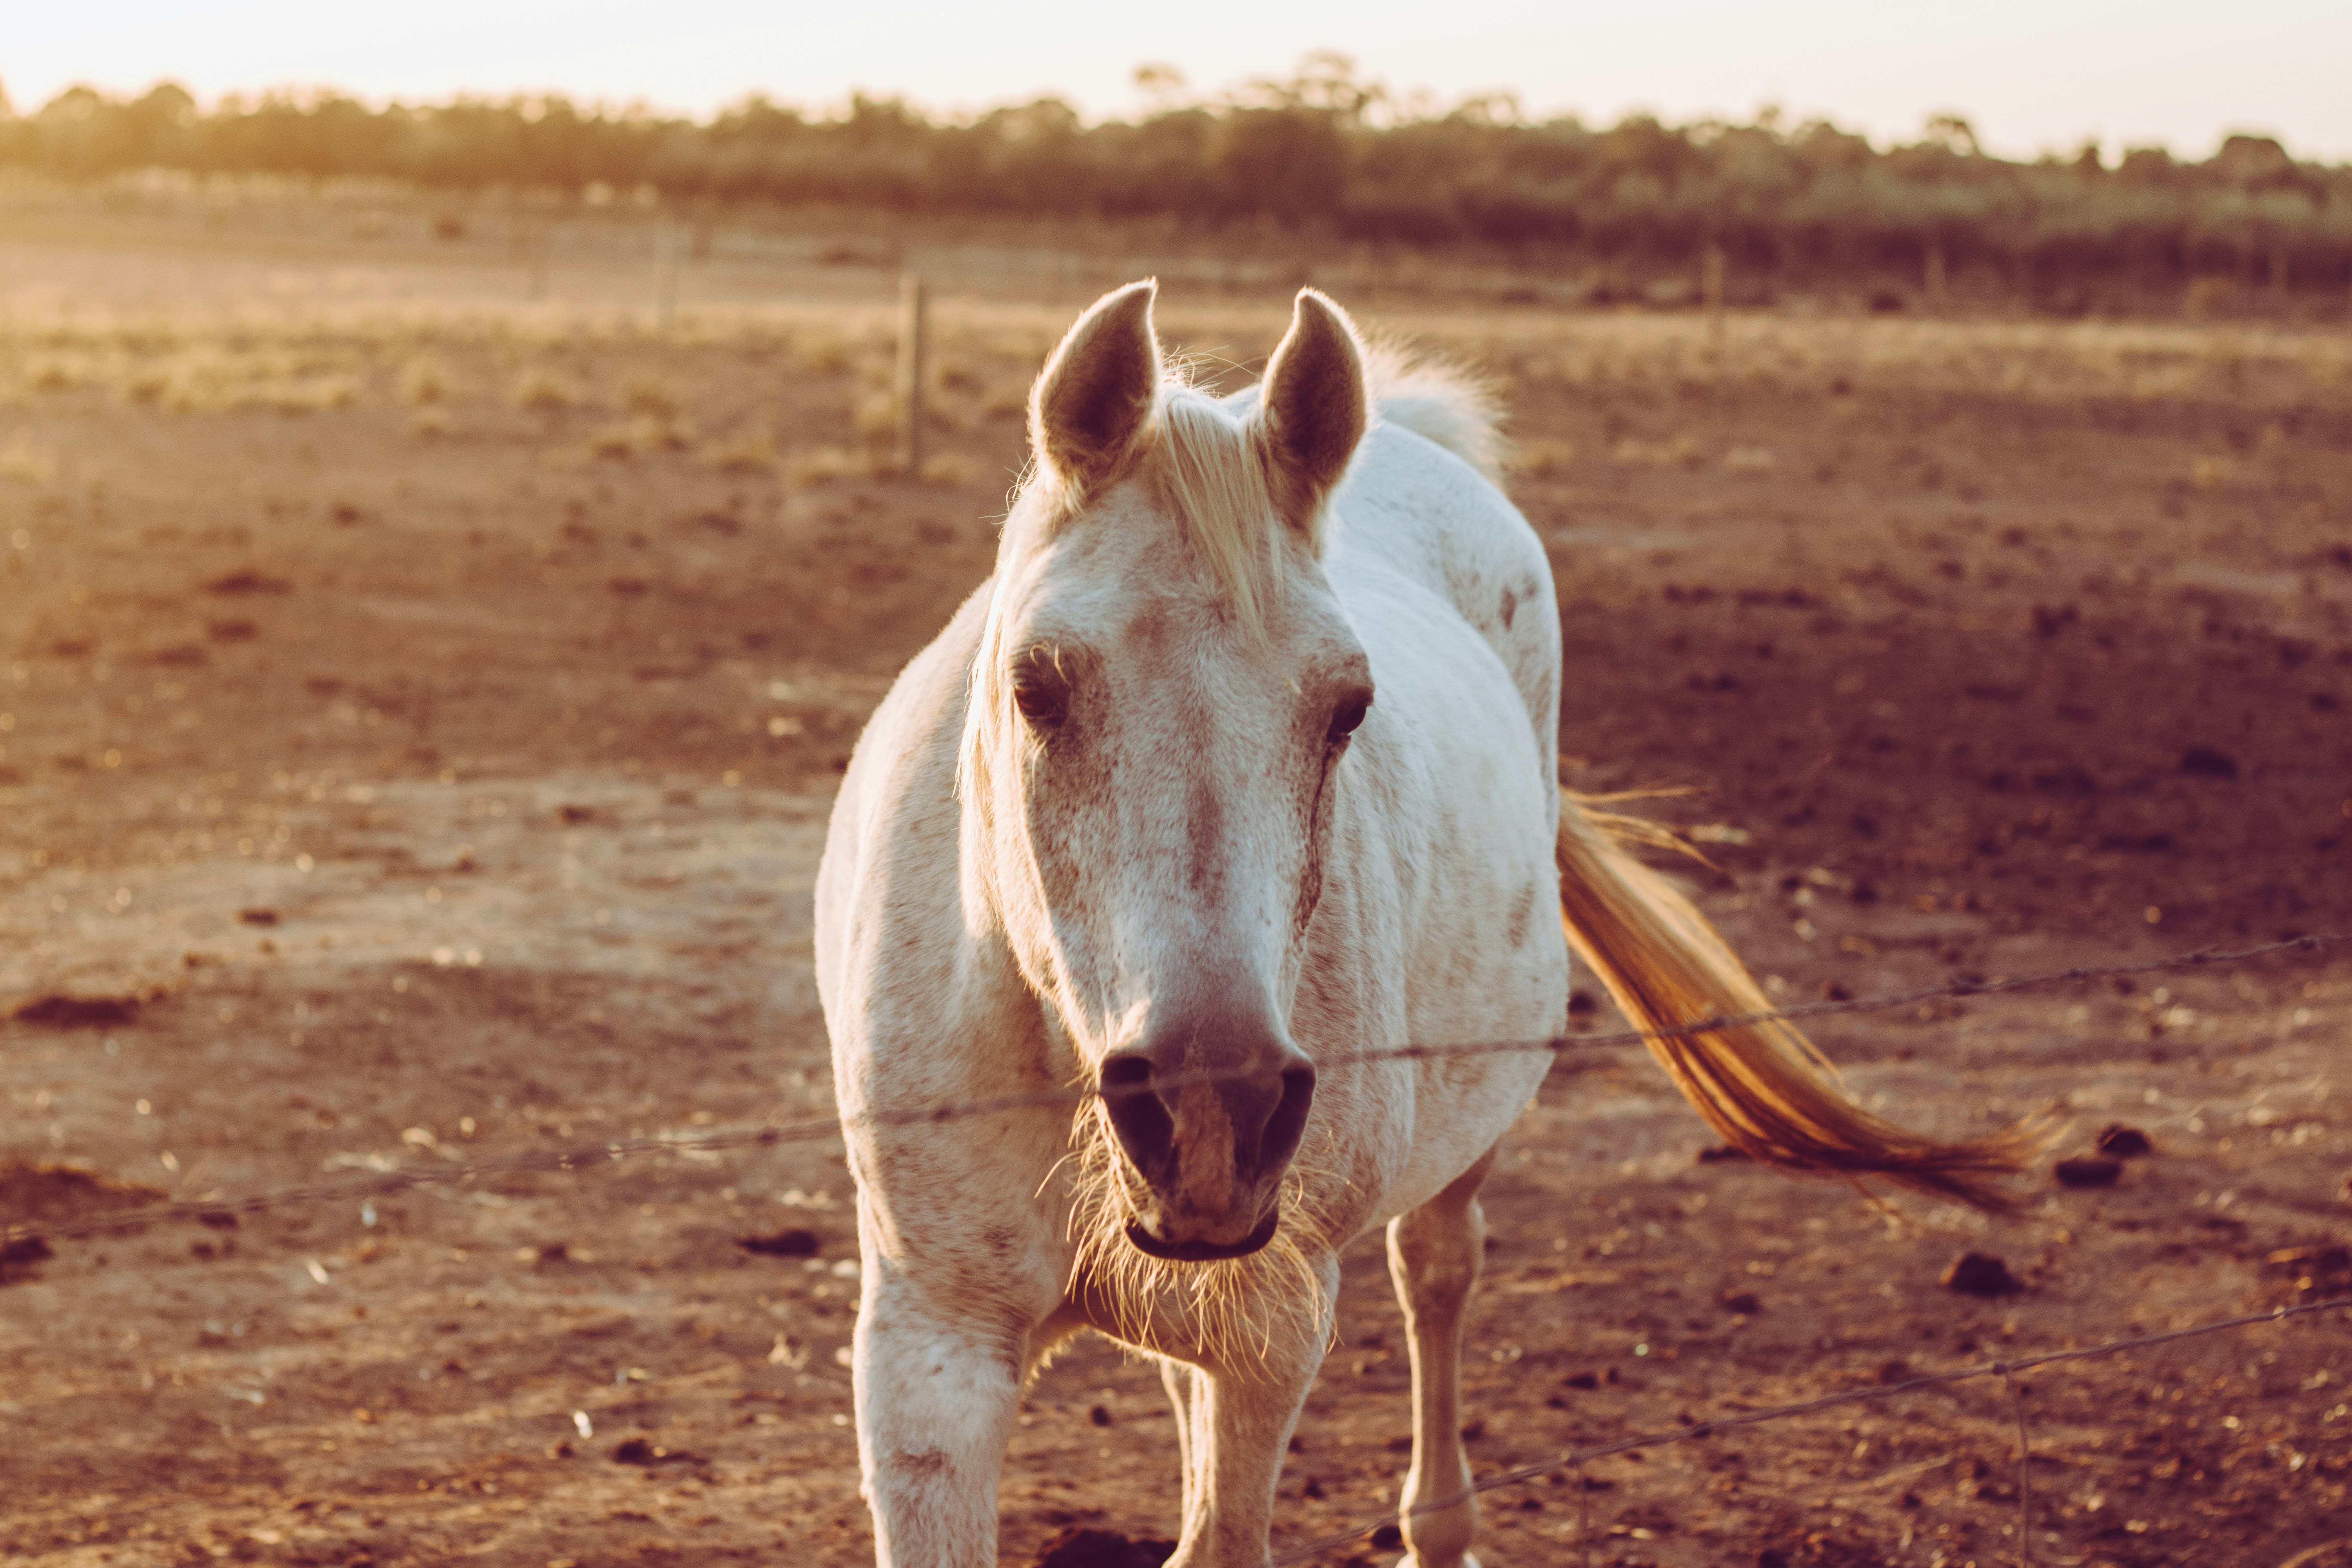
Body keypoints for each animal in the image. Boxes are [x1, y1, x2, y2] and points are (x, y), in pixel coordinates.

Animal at [813, 281, 2029, 1568]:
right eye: (1035, 686)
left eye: (1348, 708)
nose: (1212, 1112)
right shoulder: (929, 1348)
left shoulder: (1272, 1330)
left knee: (1436, 1273)